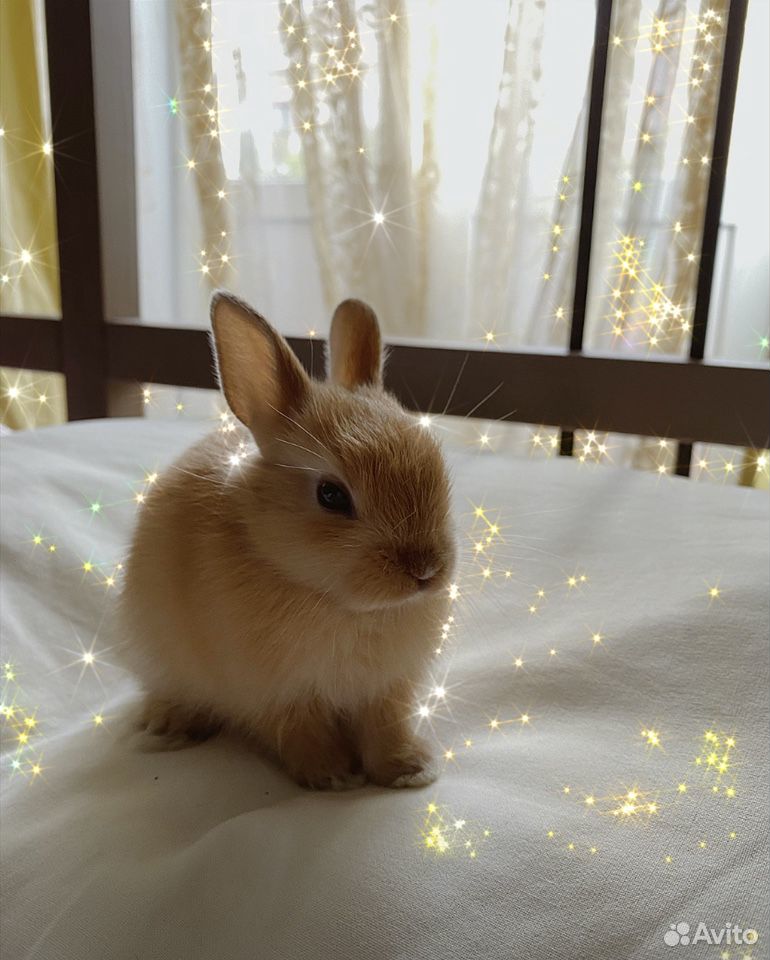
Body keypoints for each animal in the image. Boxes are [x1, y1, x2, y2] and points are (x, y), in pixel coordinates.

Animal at [119, 292, 456, 790]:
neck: (343, 605)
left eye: (436, 461)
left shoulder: (386, 689)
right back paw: (168, 725)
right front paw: (332, 775)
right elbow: (299, 730)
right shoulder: (275, 691)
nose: (425, 571)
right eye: (331, 495)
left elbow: (385, 727)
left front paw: (407, 770)